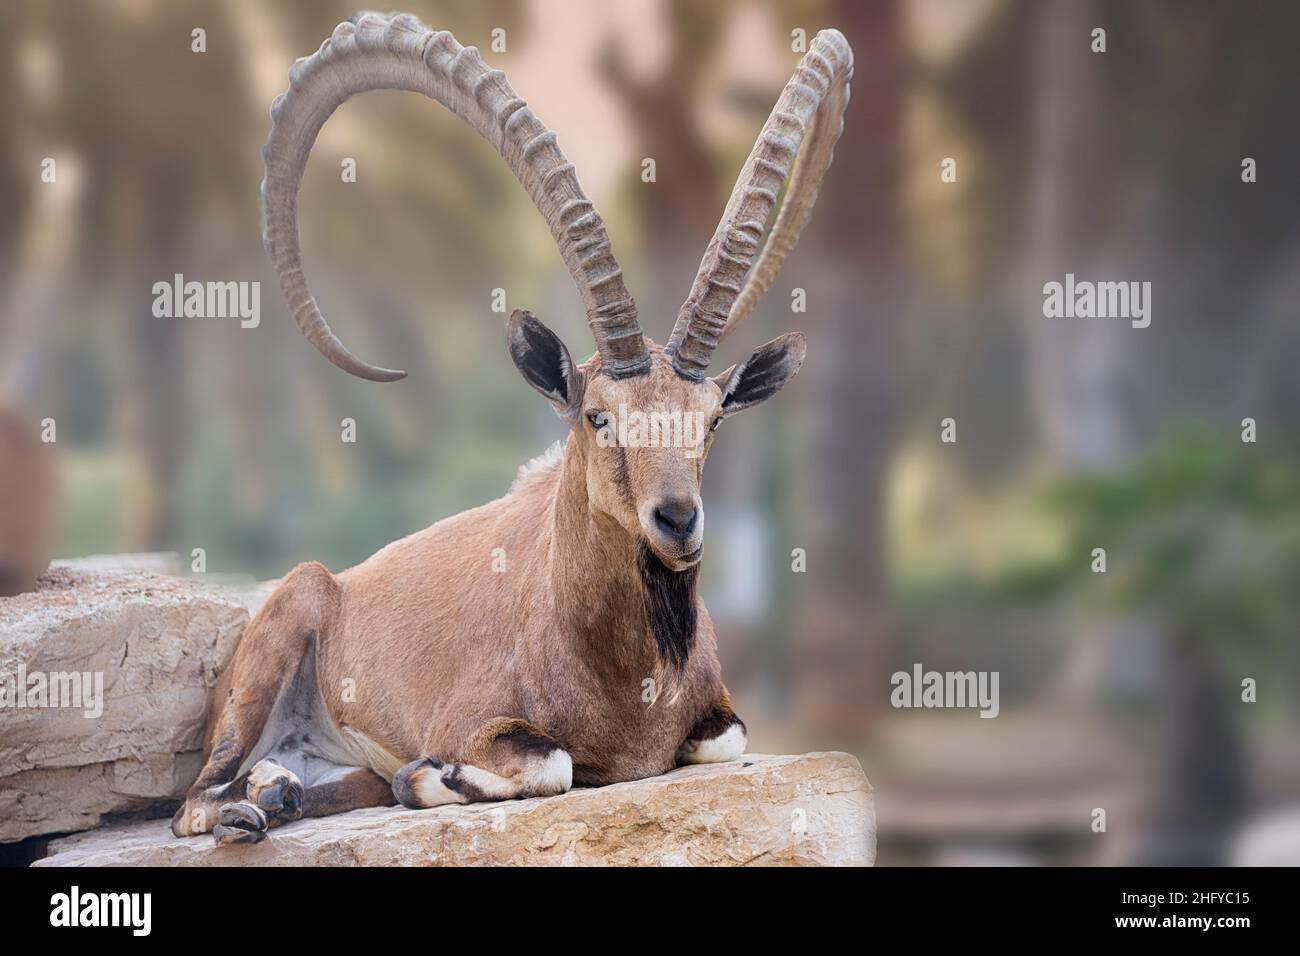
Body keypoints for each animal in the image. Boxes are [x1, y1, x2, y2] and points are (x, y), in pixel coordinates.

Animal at [172, 12, 852, 845]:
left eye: (713, 420)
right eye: (598, 416)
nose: (679, 522)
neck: (627, 683)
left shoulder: (719, 720)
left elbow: (724, 741)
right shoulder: (475, 722)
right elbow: (549, 764)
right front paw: (425, 776)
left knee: (319, 782)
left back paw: (278, 792)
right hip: (282, 626)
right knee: (195, 802)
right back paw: (252, 804)